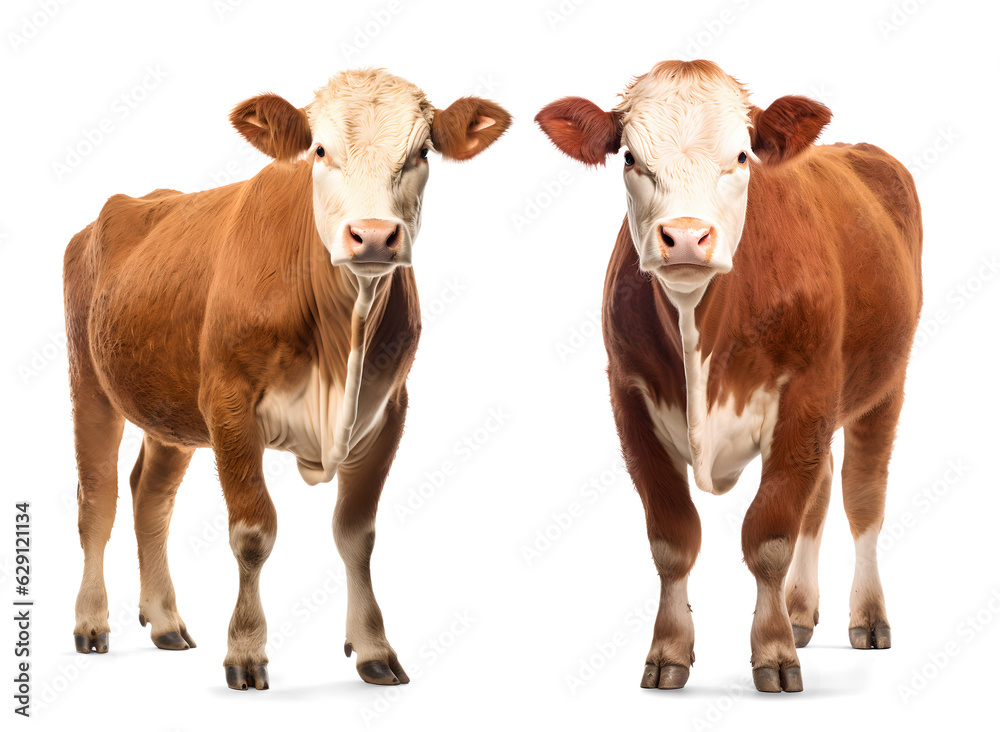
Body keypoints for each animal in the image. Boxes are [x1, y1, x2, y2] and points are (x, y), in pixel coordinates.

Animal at [64, 68, 510, 691]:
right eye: (319, 150)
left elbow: (356, 534)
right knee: (97, 499)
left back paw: (165, 622)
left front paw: (373, 648)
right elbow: (253, 532)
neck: (340, 344)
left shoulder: (388, 411)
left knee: (150, 496)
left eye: (421, 151)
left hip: (170, 408)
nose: (374, 236)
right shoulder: (228, 404)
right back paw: (91, 623)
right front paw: (246, 651)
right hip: (90, 383)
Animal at [536, 60, 921, 693]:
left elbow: (769, 536)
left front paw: (773, 652)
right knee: (820, 494)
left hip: (884, 387)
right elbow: (672, 539)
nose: (687, 236)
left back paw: (867, 618)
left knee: (862, 497)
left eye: (742, 156)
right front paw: (669, 650)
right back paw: (800, 613)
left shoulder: (806, 395)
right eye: (629, 157)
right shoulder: (629, 397)